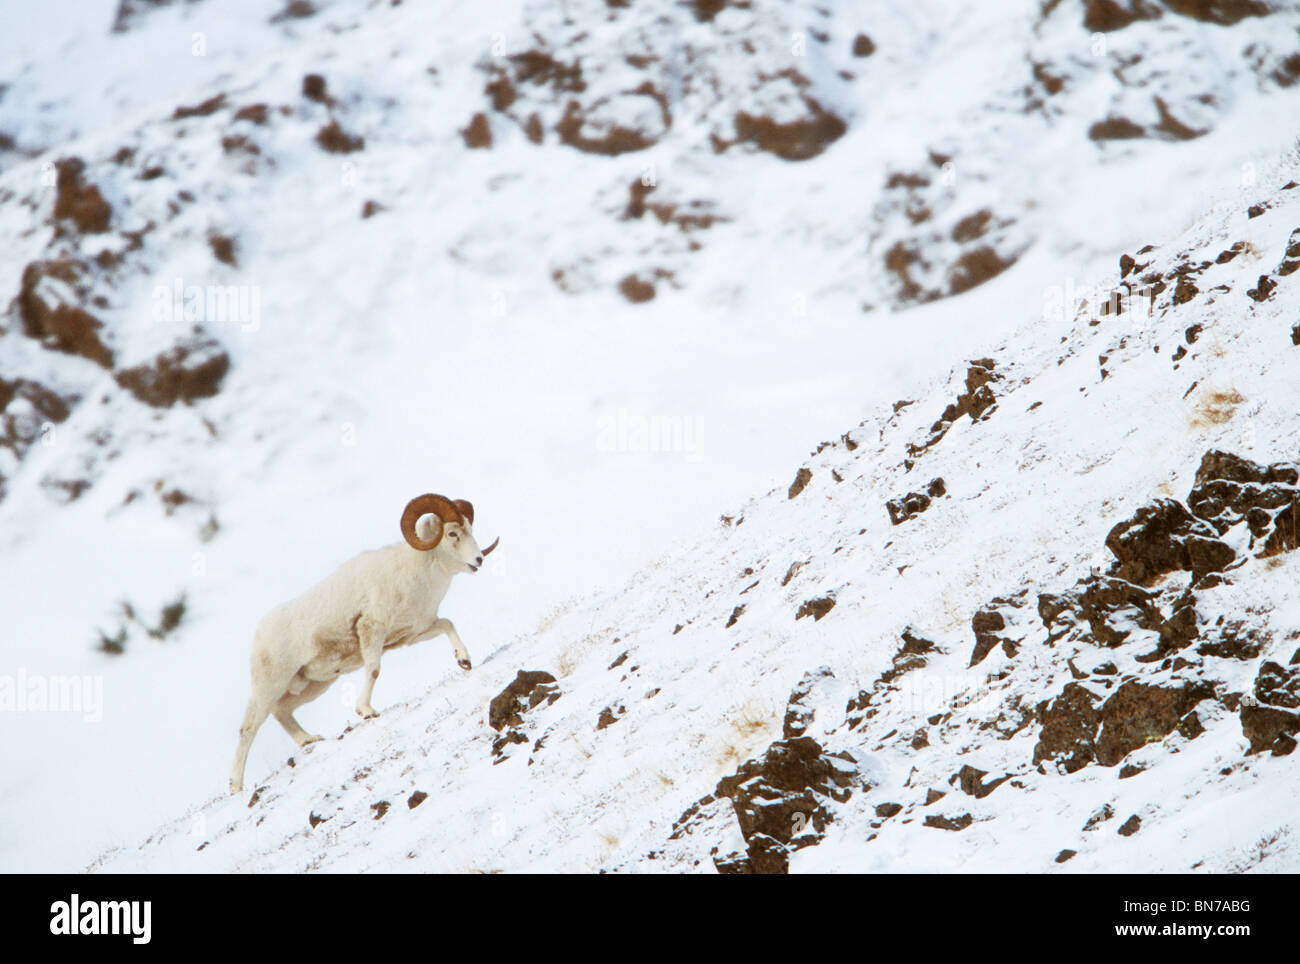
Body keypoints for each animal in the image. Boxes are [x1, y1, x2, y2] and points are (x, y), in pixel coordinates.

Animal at [229, 493, 498, 793]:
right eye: (452, 533)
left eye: (470, 530)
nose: (478, 560)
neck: (414, 573)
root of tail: (260, 633)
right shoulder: (371, 632)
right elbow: (374, 670)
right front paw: (366, 711)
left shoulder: (413, 633)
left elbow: (448, 624)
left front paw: (464, 661)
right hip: (269, 687)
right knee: (248, 729)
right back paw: (236, 787)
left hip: (313, 685)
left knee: (282, 712)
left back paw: (309, 740)